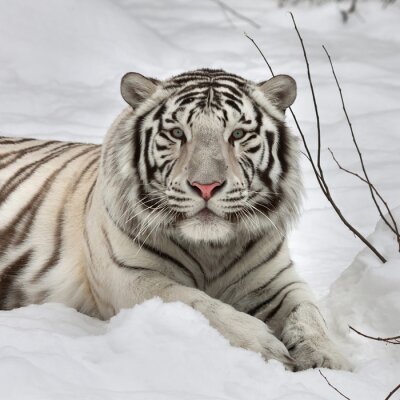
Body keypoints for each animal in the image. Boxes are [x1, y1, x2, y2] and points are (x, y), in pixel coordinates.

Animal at [0, 69, 350, 372]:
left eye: (237, 134)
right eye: (178, 133)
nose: (206, 186)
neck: (211, 249)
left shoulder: (277, 281)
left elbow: (307, 313)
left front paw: (328, 359)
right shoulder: (126, 277)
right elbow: (195, 301)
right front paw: (264, 345)